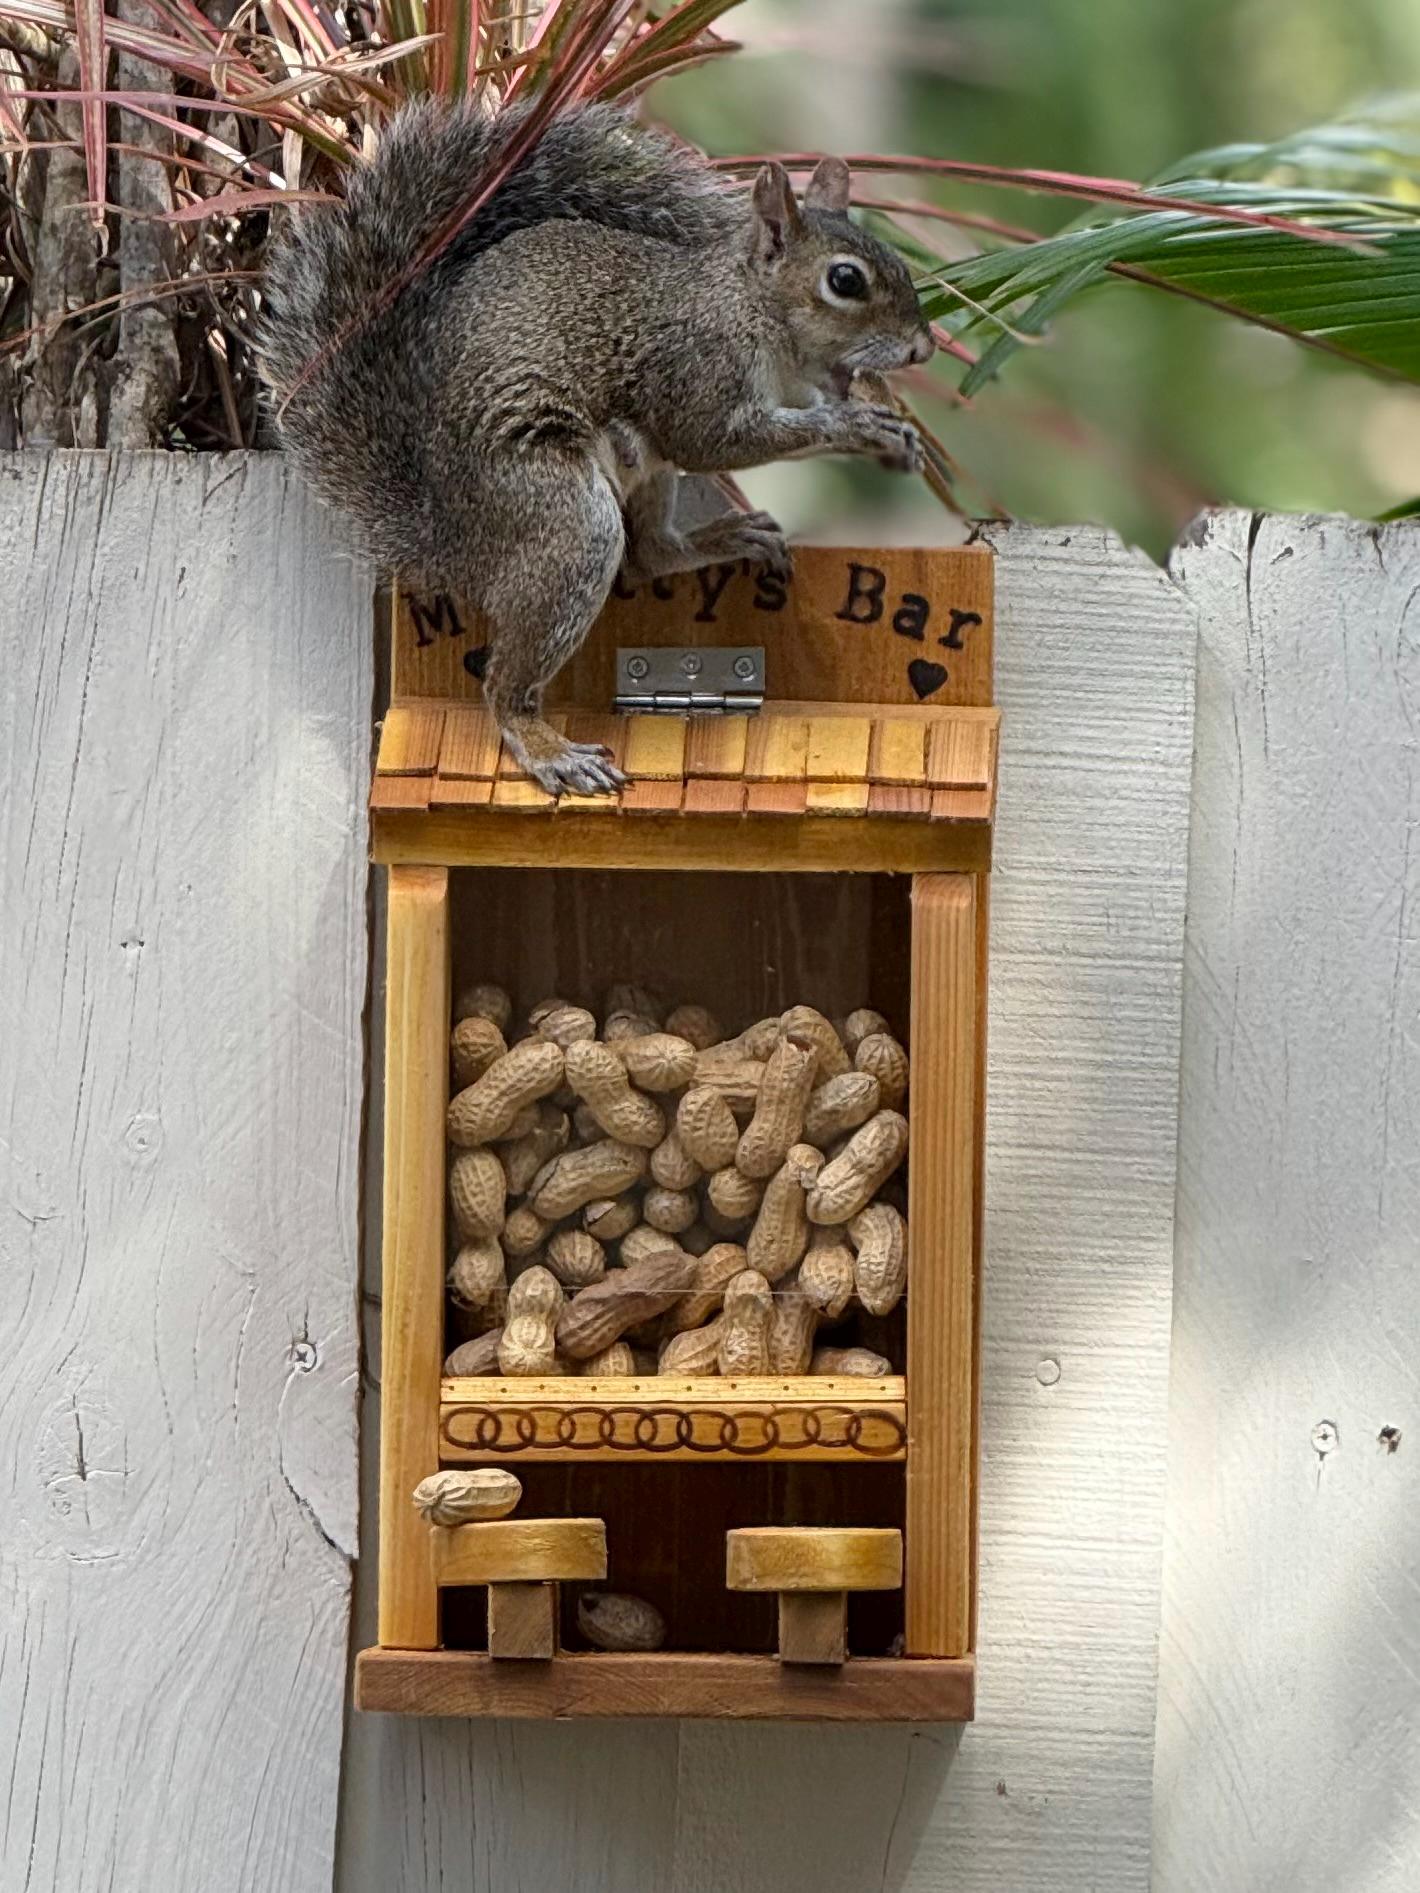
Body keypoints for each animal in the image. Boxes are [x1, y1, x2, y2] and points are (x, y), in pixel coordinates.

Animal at [261, 100, 934, 794]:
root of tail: (445, 541)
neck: (750, 311)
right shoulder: (694, 371)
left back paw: (725, 538)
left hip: (645, 477)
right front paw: (857, 424)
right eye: (845, 280)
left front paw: (890, 424)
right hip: (563, 518)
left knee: (650, 555)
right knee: (505, 685)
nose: (921, 347)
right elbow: (713, 439)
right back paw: (547, 748)